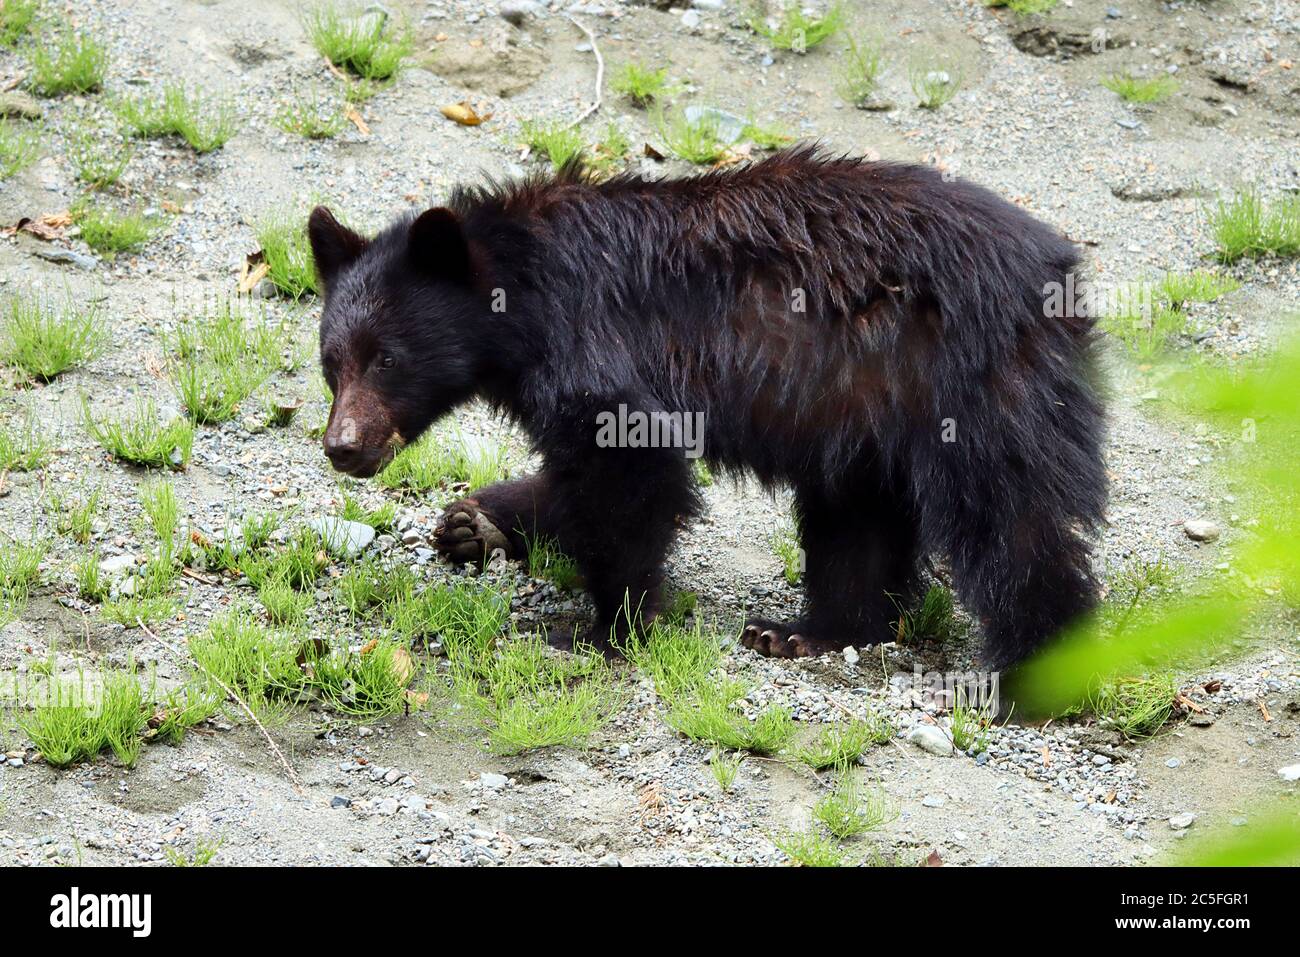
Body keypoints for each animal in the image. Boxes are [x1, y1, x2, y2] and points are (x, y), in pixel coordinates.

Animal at [309, 145, 1106, 671]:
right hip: (864, 412)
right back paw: (808, 630)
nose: (343, 445)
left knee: (1011, 519)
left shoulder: (596, 345)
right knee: (857, 518)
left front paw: (605, 629)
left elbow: (628, 471)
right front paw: (477, 523)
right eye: (331, 363)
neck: (521, 295)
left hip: (972, 384)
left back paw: (1039, 666)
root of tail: (1057, 268)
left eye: (388, 358)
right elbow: (576, 477)